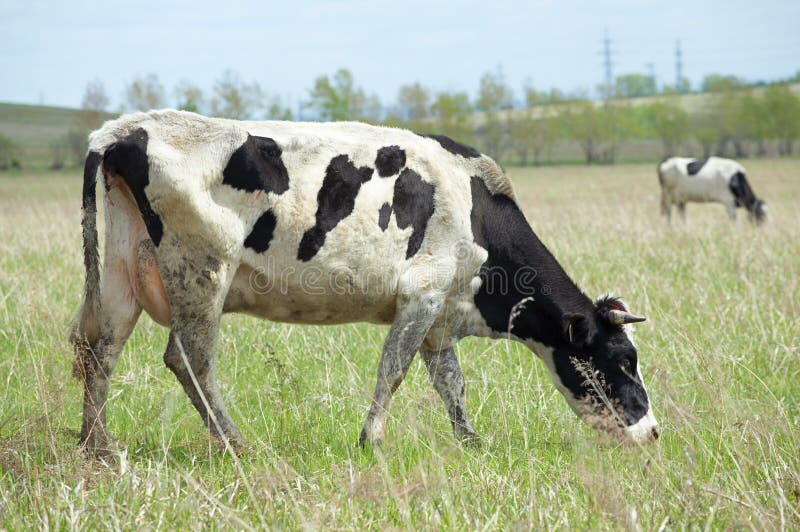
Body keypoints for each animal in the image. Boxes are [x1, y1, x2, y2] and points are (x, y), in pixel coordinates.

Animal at [71, 110, 658, 456]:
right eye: (623, 359)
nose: (653, 431)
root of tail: (123, 129)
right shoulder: (421, 296)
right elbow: (392, 372)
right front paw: (371, 440)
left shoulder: (440, 318)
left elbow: (451, 383)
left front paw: (470, 441)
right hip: (201, 273)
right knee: (188, 359)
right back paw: (236, 443)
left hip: (123, 271)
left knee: (99, 349)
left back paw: (98, 446)